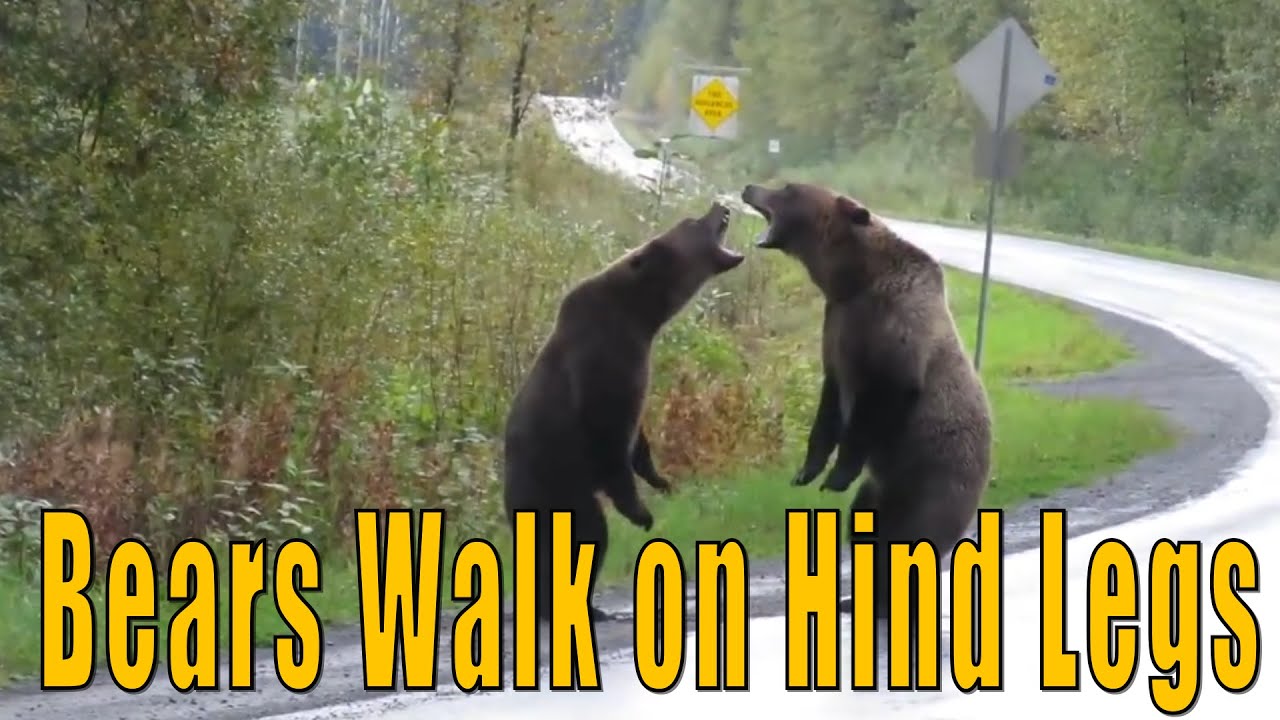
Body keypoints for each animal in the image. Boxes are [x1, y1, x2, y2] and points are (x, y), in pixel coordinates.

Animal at [503, 201, 744, 623]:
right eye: (692, 222)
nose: (720, 204)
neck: (642, 316)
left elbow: (636, 435)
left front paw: (660, 478)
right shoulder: (603, 362)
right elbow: (609, 434)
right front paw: (641, 512)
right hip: (553, 484)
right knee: (583, 533)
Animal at [740, 181, 993, 619]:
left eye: (788, 188)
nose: (750, 186)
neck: (852, 281)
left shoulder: (894, 331)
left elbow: (879, 402)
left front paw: (837, 474)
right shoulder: (837, 329)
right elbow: (828, 404)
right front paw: (807, 470)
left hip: (936, 482)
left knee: (909, 542)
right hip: (880, 491)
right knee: (866, 529)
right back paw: (856, 599)